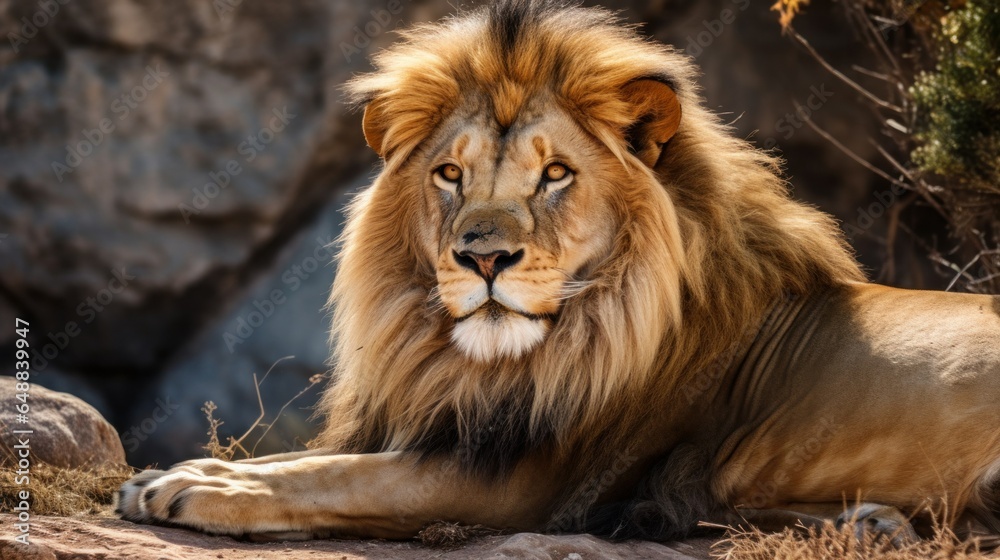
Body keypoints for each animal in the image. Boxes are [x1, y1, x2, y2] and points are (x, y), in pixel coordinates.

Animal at [118, 0, 1000, 545]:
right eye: (449, 174)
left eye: (555, 175)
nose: (483, 257)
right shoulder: (446, 429)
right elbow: (295, 459)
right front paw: (173, 473)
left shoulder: (525, 482)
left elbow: (334, 478)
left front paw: (206, 492)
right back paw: (860, 522)